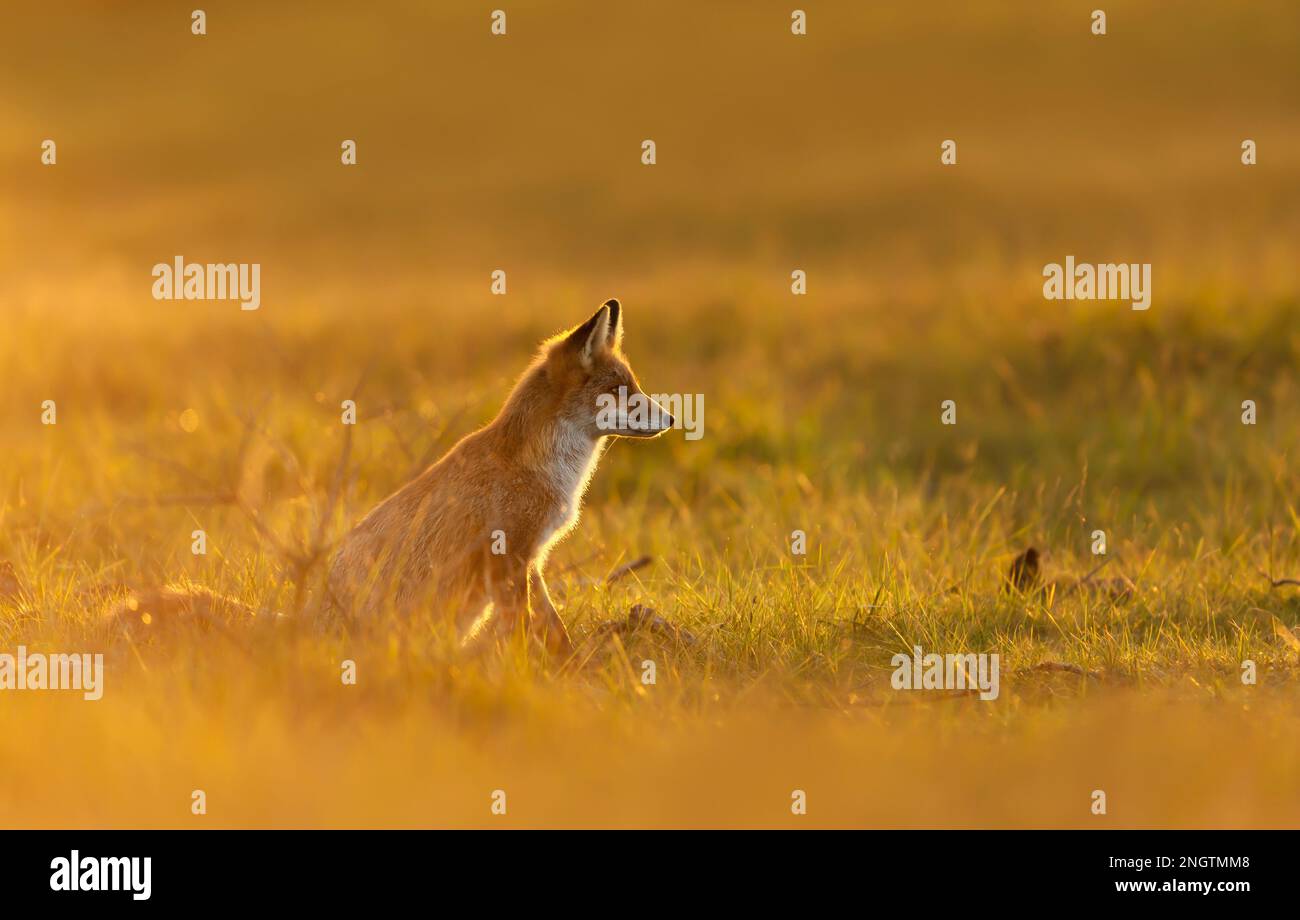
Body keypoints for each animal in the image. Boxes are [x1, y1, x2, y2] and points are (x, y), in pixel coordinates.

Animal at [327, 298, 673, 656]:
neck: (539, 470)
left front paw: (570, 662)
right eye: (616, 391)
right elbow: (520, 628)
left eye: (634, 386)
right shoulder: (507, 555)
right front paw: (522, 666)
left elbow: (554, 628)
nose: (671, 418)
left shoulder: (532, 557)